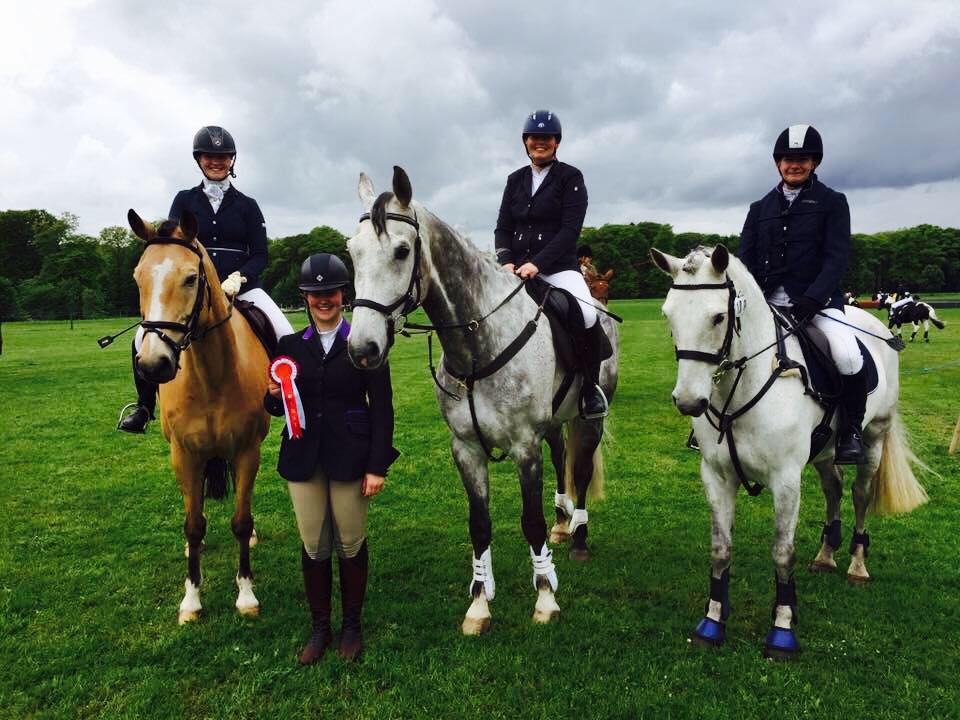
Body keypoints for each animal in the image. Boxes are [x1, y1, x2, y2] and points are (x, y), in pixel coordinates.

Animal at [128, 209, 270, 624]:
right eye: (138, 277)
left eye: (191, 278)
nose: (154, 365)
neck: (211, 374)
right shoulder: (185, 455)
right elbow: (192, 525)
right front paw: (191, 601)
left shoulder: (247, 451)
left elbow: (241, 520)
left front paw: (246, 595)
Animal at [346, 167, 619, 634]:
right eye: (352, 251)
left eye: (402, 251)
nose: (363, 349)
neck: (475, 344)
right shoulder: (466, 448)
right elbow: (479, 524)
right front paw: (478, 603)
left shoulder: (525, 447)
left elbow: (530, 522)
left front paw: (545, 598)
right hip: (554, 424)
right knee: (563, 457)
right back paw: (563, 525)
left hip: (589, 420)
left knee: (580, 473)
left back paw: (578, 538)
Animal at [651, 244, 928, 659]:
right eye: (668, 315)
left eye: (718, 316)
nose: (688, 402)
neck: (742, 387)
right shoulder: (716, 476)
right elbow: (720, 549)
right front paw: (712, 623)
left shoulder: (785, 481)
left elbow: (783, 552)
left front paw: (782, 630)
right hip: (824, 451)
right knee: (834, 487)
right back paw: (826, 555)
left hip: (875, 436)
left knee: (860, 493)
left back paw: (857, 565)